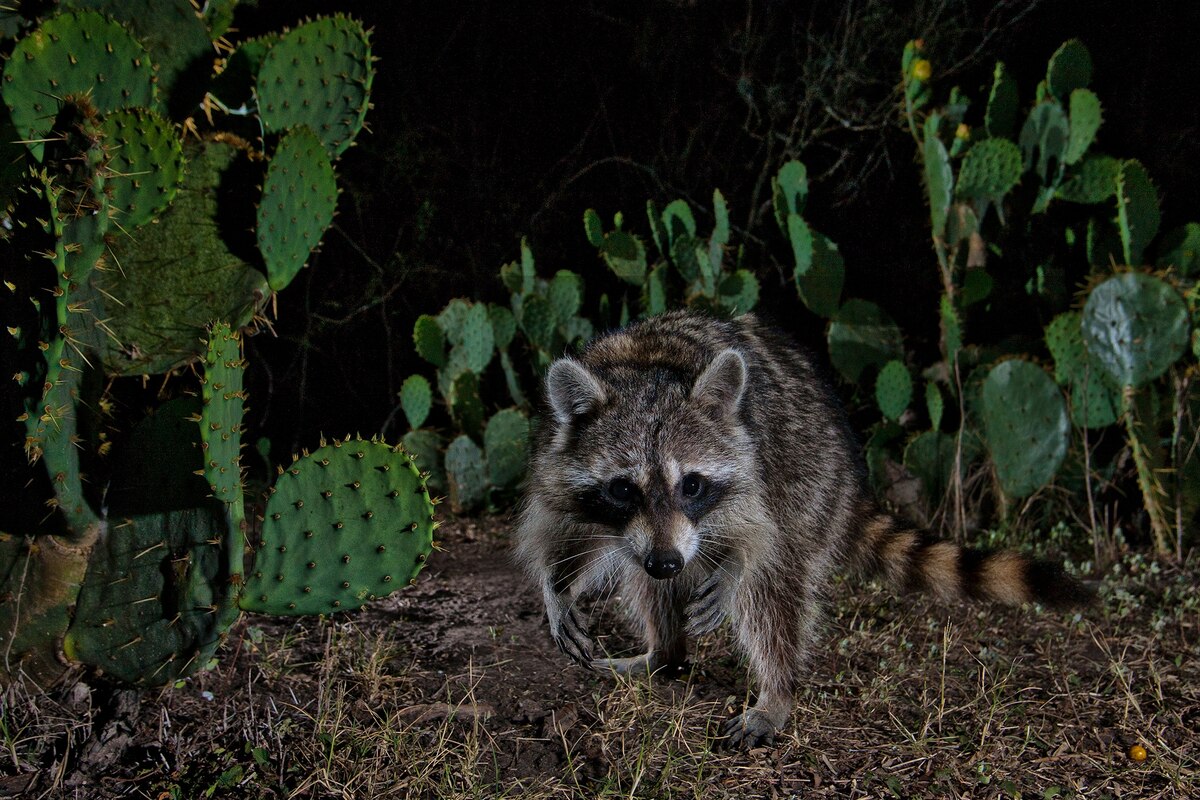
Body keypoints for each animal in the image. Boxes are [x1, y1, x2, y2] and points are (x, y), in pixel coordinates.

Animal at [513, 310, 1091, 748]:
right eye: (622, 489)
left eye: (692, 485)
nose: (668, 560)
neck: (646, 368)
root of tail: (849, 470)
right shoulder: (558, 463)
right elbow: (562, 528)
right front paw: (557, 587)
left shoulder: (754, 464)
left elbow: (757, 540)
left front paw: (734, 569)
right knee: (646, 582)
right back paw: (664, 654)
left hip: (810, 481)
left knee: (773, 589)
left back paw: (775, 689)